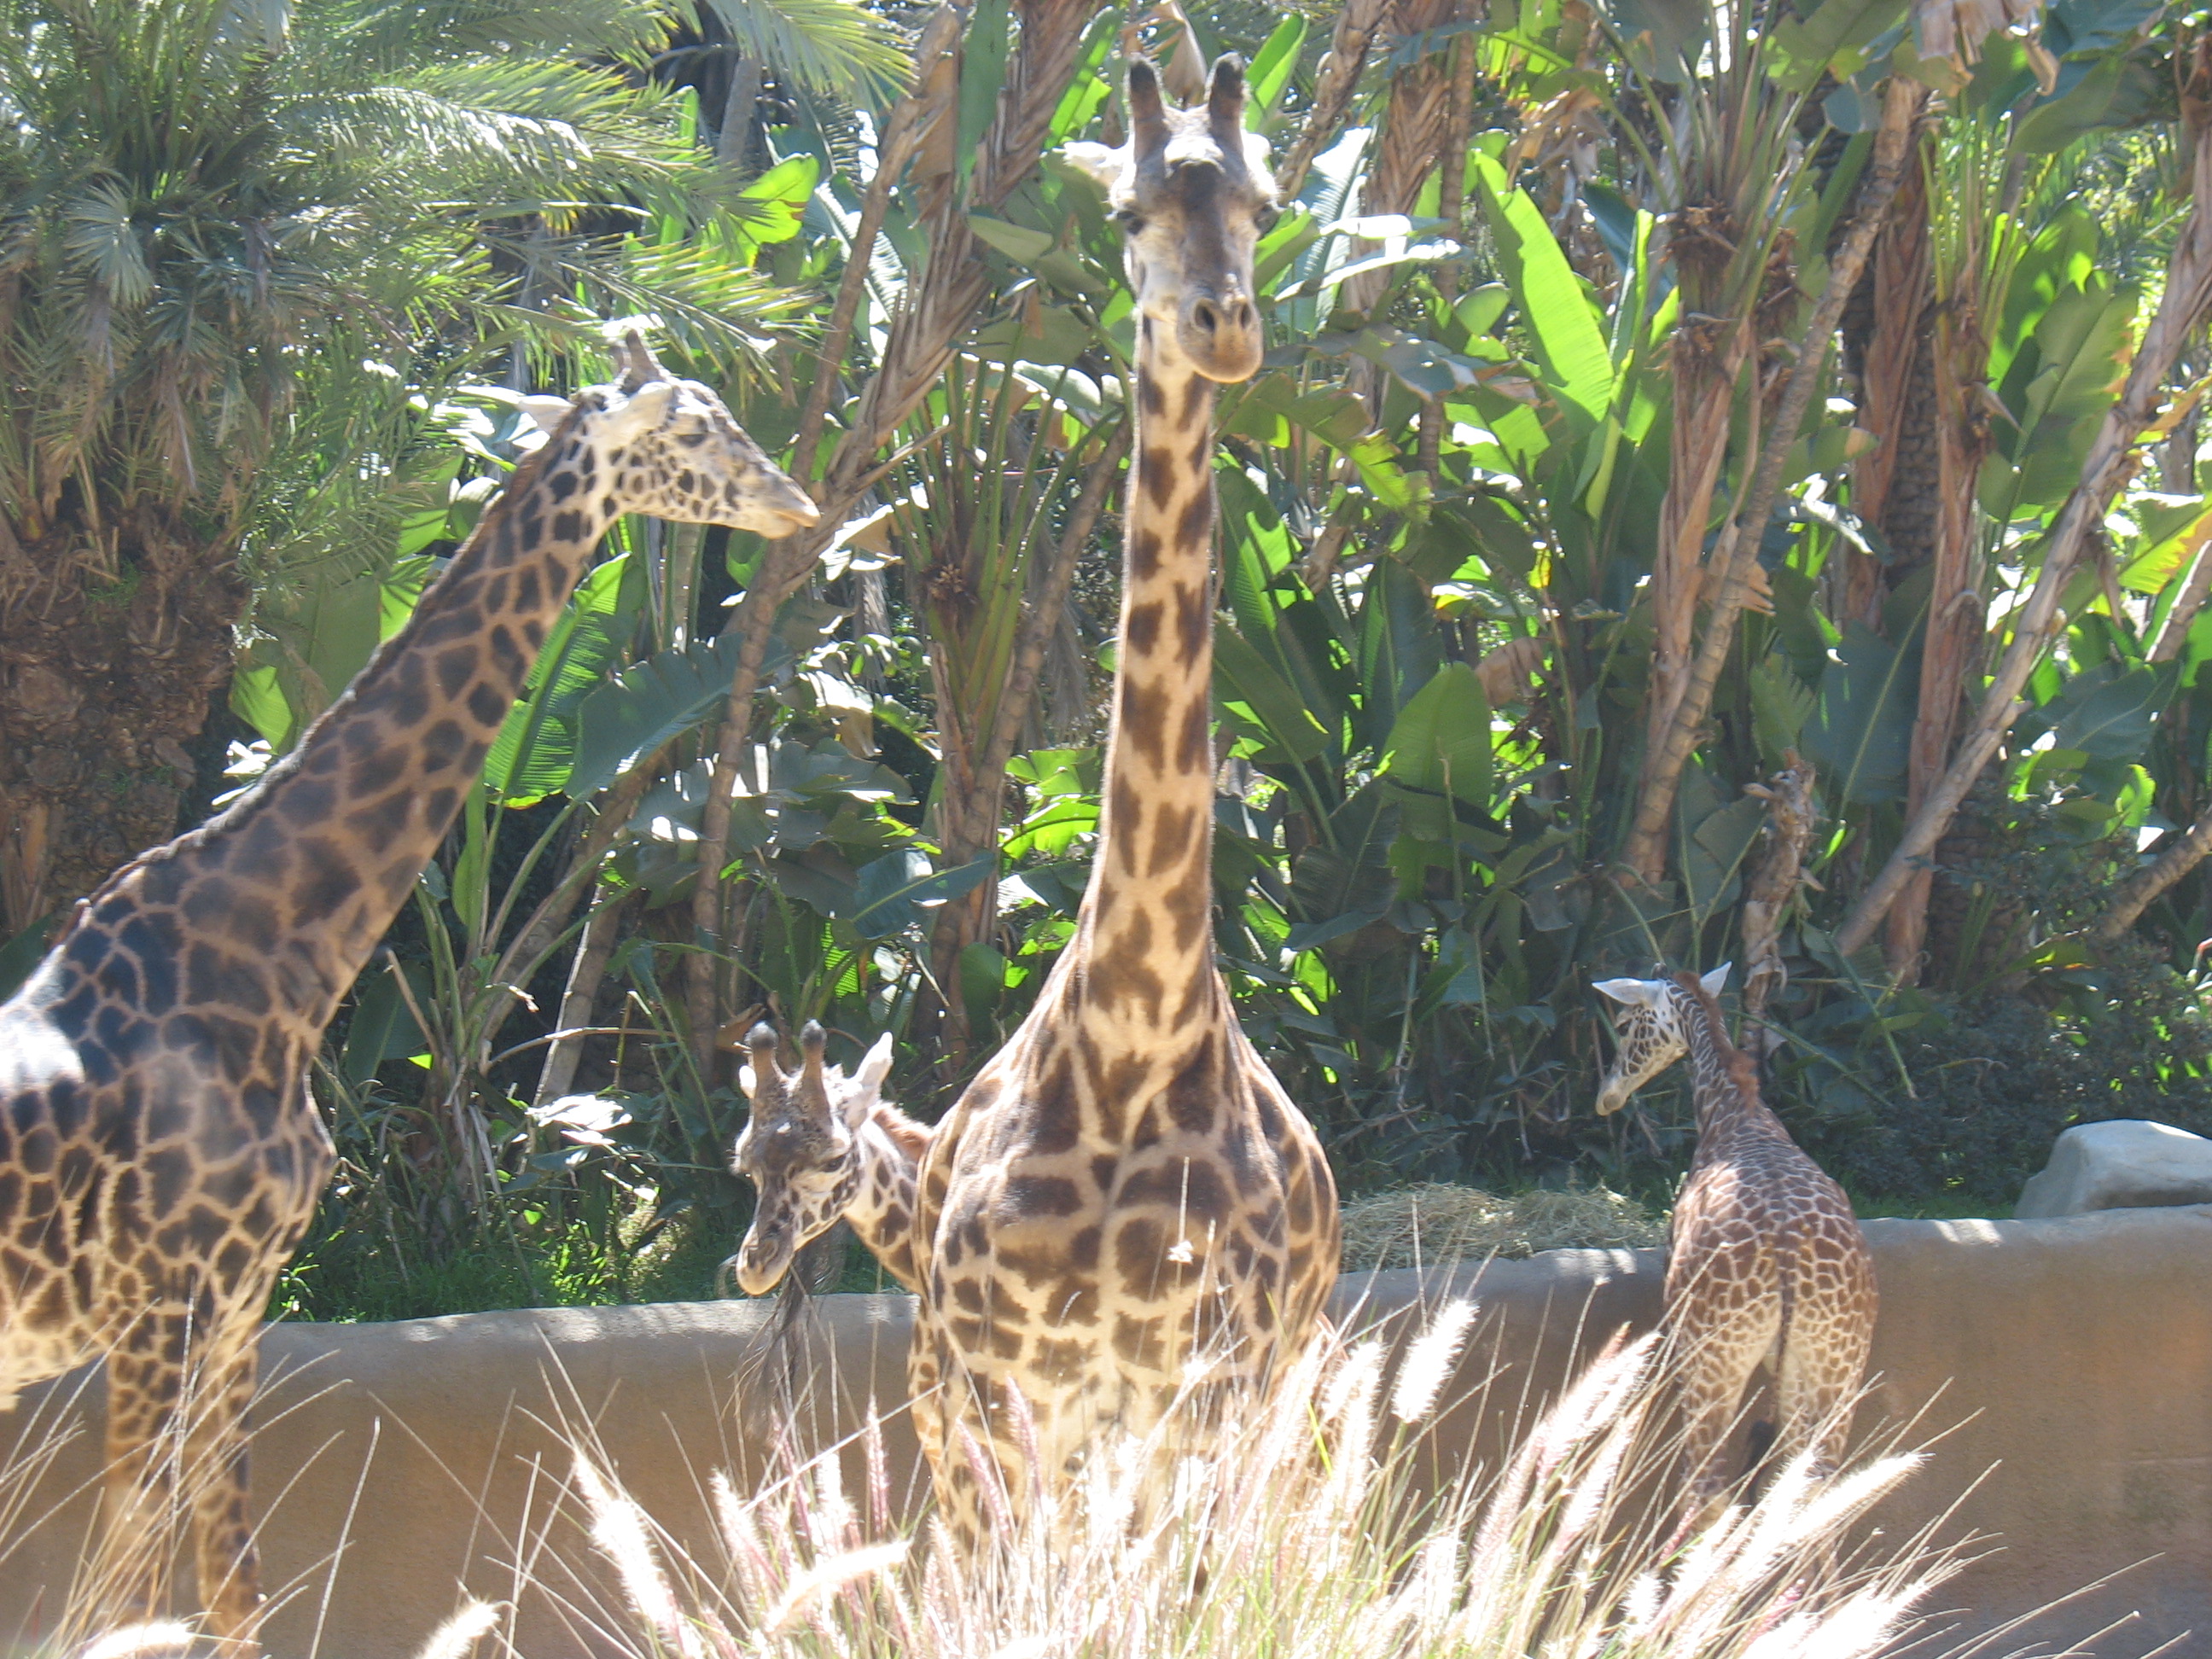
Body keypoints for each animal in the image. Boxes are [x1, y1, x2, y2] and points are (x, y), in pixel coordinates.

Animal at [0, 333, 816, 1639]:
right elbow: (116, 1592)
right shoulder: (161, 1307)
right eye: (693, 432)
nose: (795, 502)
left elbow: (232, 1588)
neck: (272, 957)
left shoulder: (238, 1305)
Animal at [900, 55, 1340, 1545]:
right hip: (953, 1400)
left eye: (1263, 202)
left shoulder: (1200, 1390)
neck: (1136, 1031)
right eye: (1133, 210)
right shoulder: (998, 1386)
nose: (1224, 326)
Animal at [1592, 964, 1877, 1529]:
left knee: (1704, 1486)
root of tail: (1789, 1268)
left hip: (1714, 1361)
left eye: (1625, 1022)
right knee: (1813, 1487)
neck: (1737, 1116)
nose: (1607, 1094)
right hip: (1837, 1363)